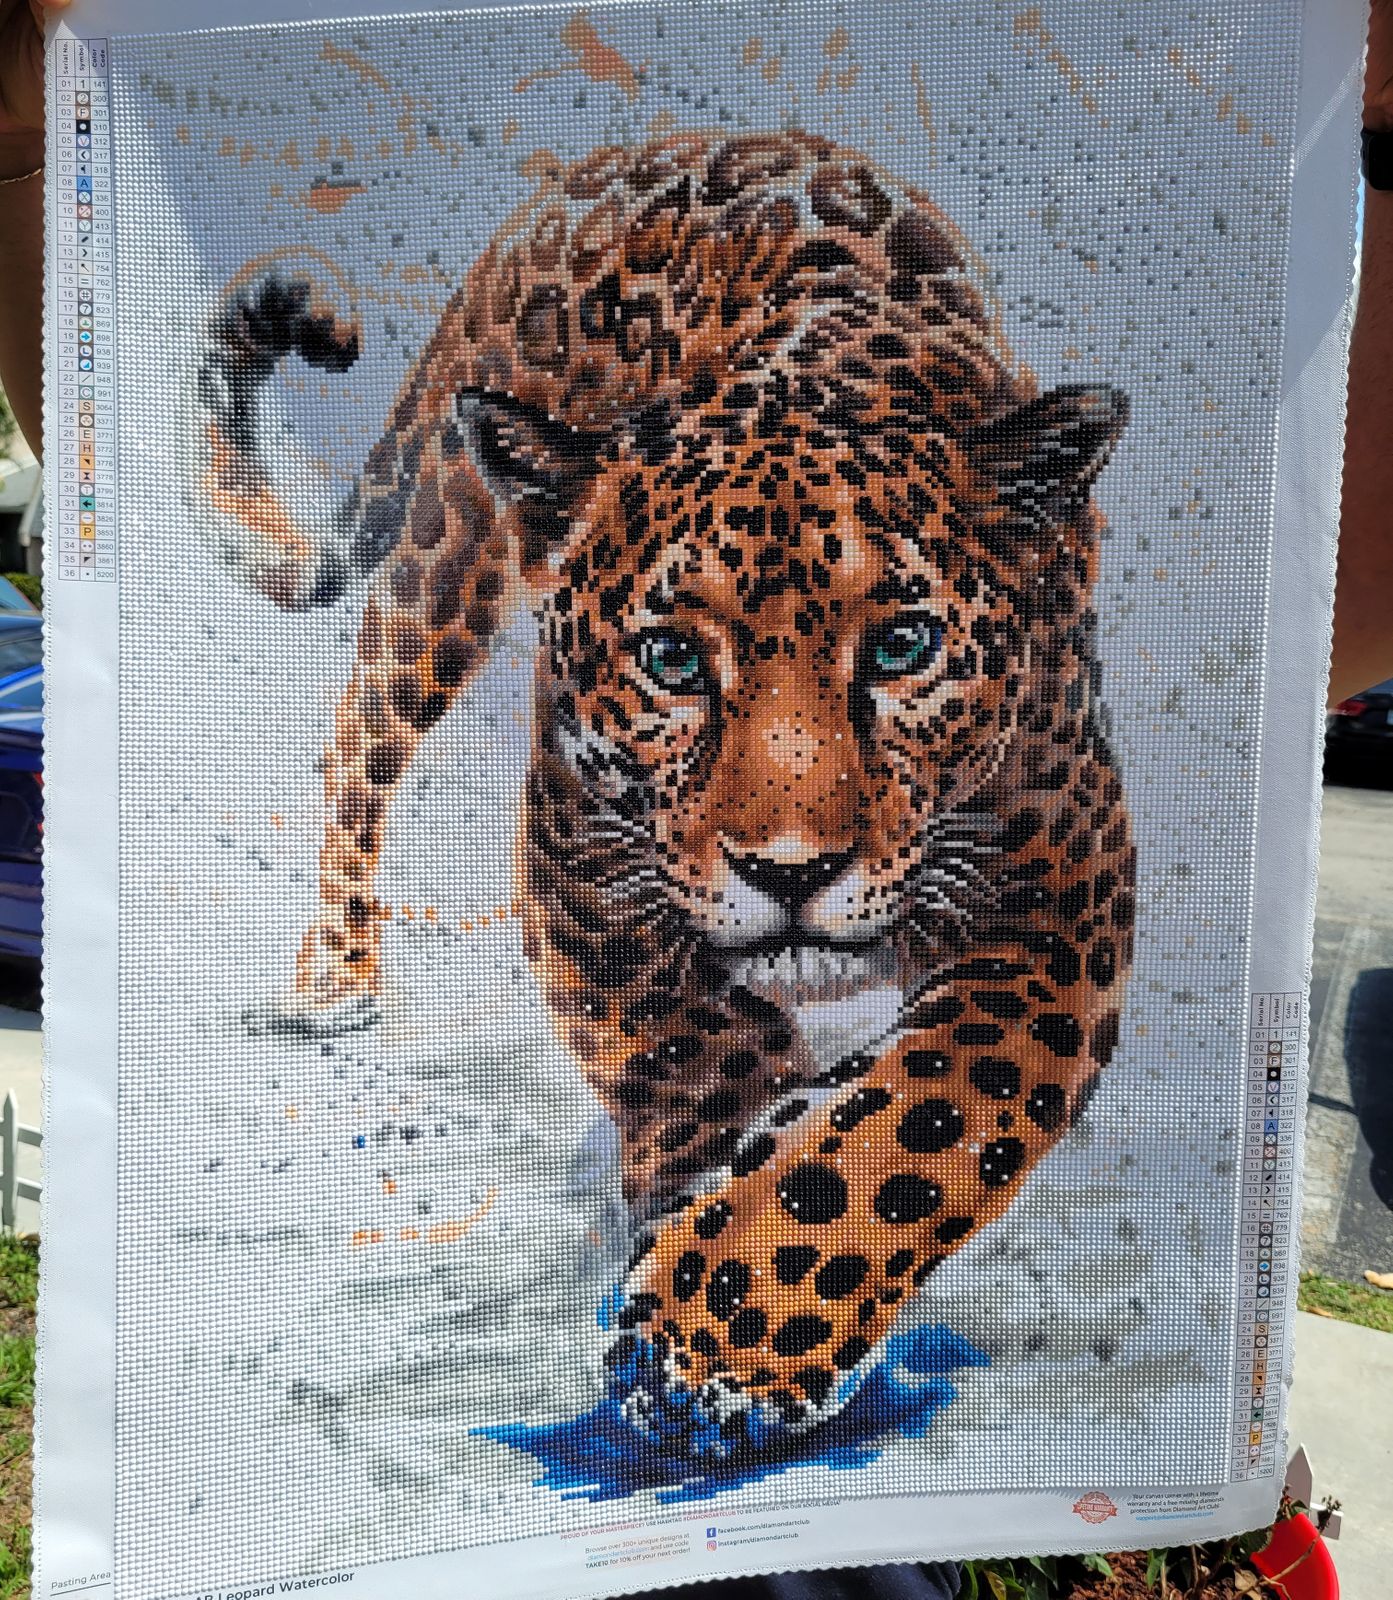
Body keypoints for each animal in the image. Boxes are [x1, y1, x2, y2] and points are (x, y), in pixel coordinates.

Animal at [197, 130, 1134, 1435]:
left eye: (902, 647)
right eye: (673, 658)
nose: (791, 871)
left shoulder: (1061, 898)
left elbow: (924, 1117)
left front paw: (724, 1333)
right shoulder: (581, 858)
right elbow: (694, 1053)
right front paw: (705, 1263)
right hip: (447, 555)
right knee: (356, 739)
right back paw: (334, 972)